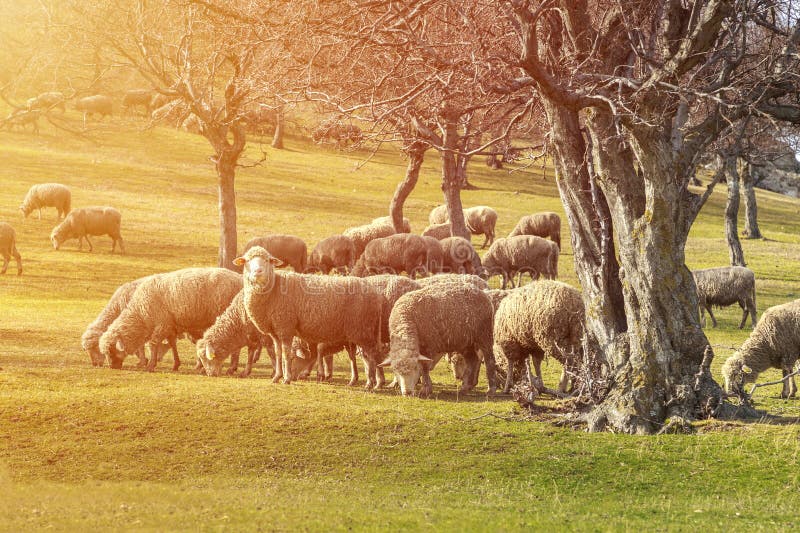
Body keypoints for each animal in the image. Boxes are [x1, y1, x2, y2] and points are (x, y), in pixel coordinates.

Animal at [99, 268, 242, 371]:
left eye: (111, 351)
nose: (112, 367)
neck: (141, 314)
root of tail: (239, 279)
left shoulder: (161, 324)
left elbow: (153, 344)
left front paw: (151, 365)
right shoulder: (170, 325)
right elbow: (173, 344)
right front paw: (176, 364)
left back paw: (231, 367)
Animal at [234, 246, 385, 388]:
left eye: (267, 260)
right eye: (247, 260)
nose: (258, 272)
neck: (273, 291)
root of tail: (375, 294)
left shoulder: (286, 327)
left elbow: (286, 353)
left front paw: (286, 379)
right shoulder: (276, 331)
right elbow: (278, 353)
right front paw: (276, 377)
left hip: (363, 329)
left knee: (370, 355)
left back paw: (371, 383)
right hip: (356, 332)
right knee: (360, 355)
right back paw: (358, 381)